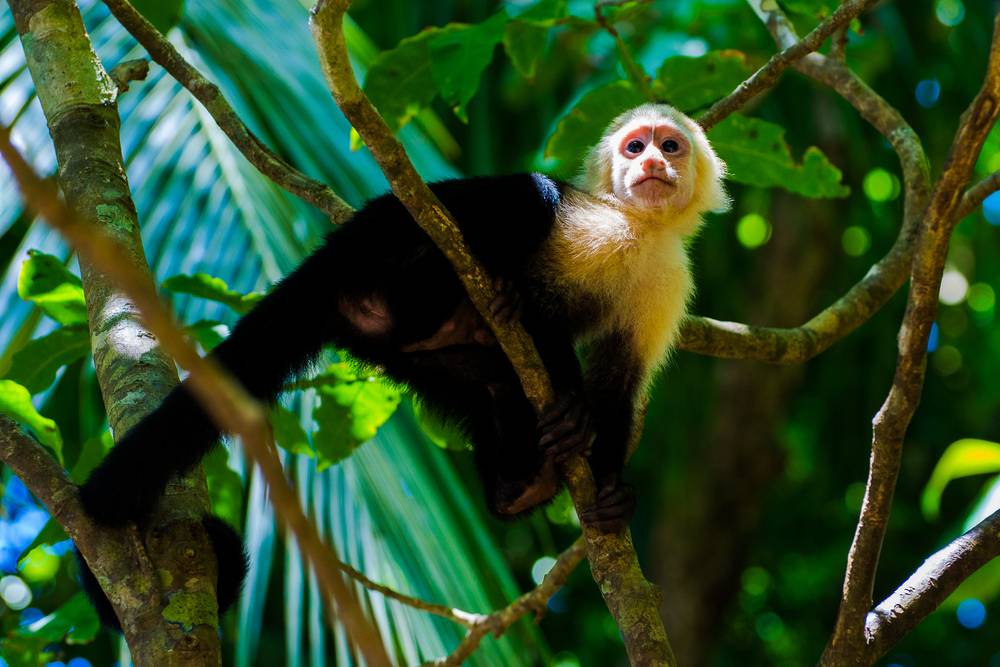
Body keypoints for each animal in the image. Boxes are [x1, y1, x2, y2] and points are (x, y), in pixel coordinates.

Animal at [76, 103, 728, 625]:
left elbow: (621, 380)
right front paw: (567, 397)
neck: (637, 228)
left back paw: (520, 482)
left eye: (670, 146)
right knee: (522, 197)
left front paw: (612, 488)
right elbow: (546, 310)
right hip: (387, 265)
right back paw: (500, 303)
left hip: (396, 347)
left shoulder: (668, 279)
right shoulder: (591, 226)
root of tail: (332, 258)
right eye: (634, 146)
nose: (651, 163)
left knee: (490, 379)